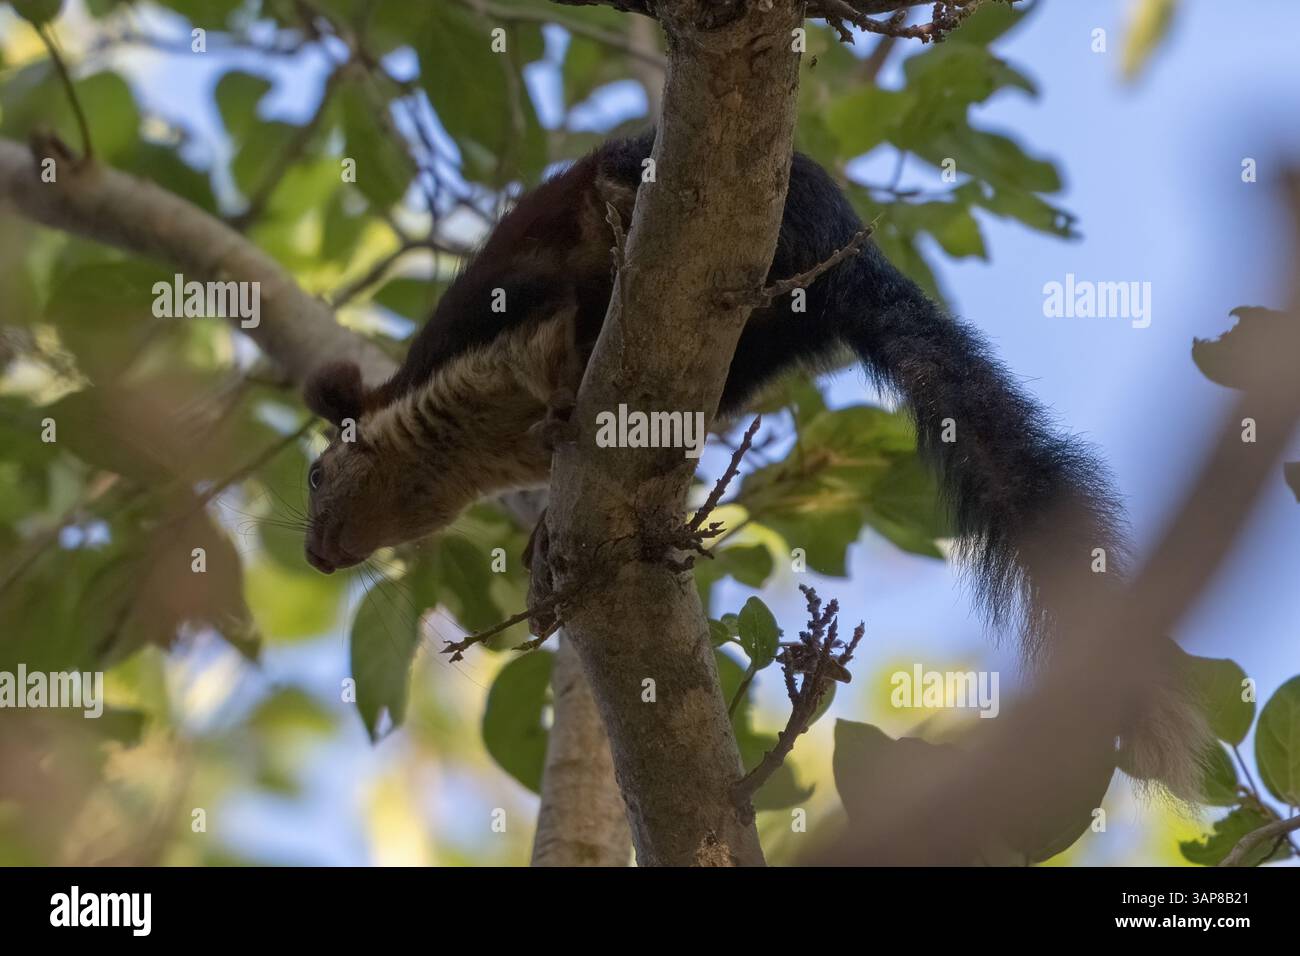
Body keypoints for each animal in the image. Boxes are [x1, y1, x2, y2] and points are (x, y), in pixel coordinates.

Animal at [301, 130, 1210, 800]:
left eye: (314, 477)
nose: (313, 554)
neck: (474, 446)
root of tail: (842, 243)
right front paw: (539, 547)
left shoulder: (507, 307)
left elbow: (560, 313)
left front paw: (563, 408)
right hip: (764, 341)